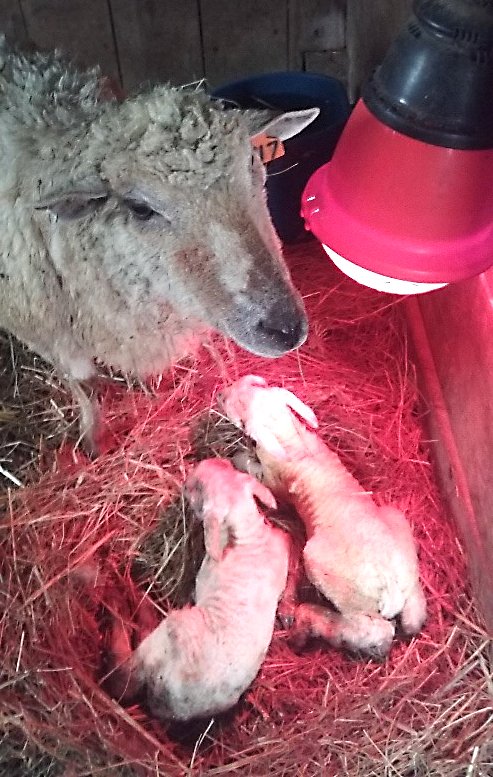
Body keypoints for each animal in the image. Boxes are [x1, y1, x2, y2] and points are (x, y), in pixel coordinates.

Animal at [0, 38, 316, 447]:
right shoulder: (45, 332)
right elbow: (81, 383)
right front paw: (93, 437)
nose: (286, 329)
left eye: (253, 164)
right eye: (139, 208)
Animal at [108, 458, 290, 721]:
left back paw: (122, 597)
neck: (249, 537)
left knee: (123, 678)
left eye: (198, 489)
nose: (186, 483)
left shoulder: (203, 579)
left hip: (173, 631)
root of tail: (173, 704)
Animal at [218, 375, 426, 658]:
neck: (291, 437)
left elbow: (255, 472)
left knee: (375, 631)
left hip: (337, 583)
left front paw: (237, 457)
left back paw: (309, 624)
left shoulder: (272, 480)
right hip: (399, 533)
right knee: (415, 613)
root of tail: (392, 585)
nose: (221, 395)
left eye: (242, 413)